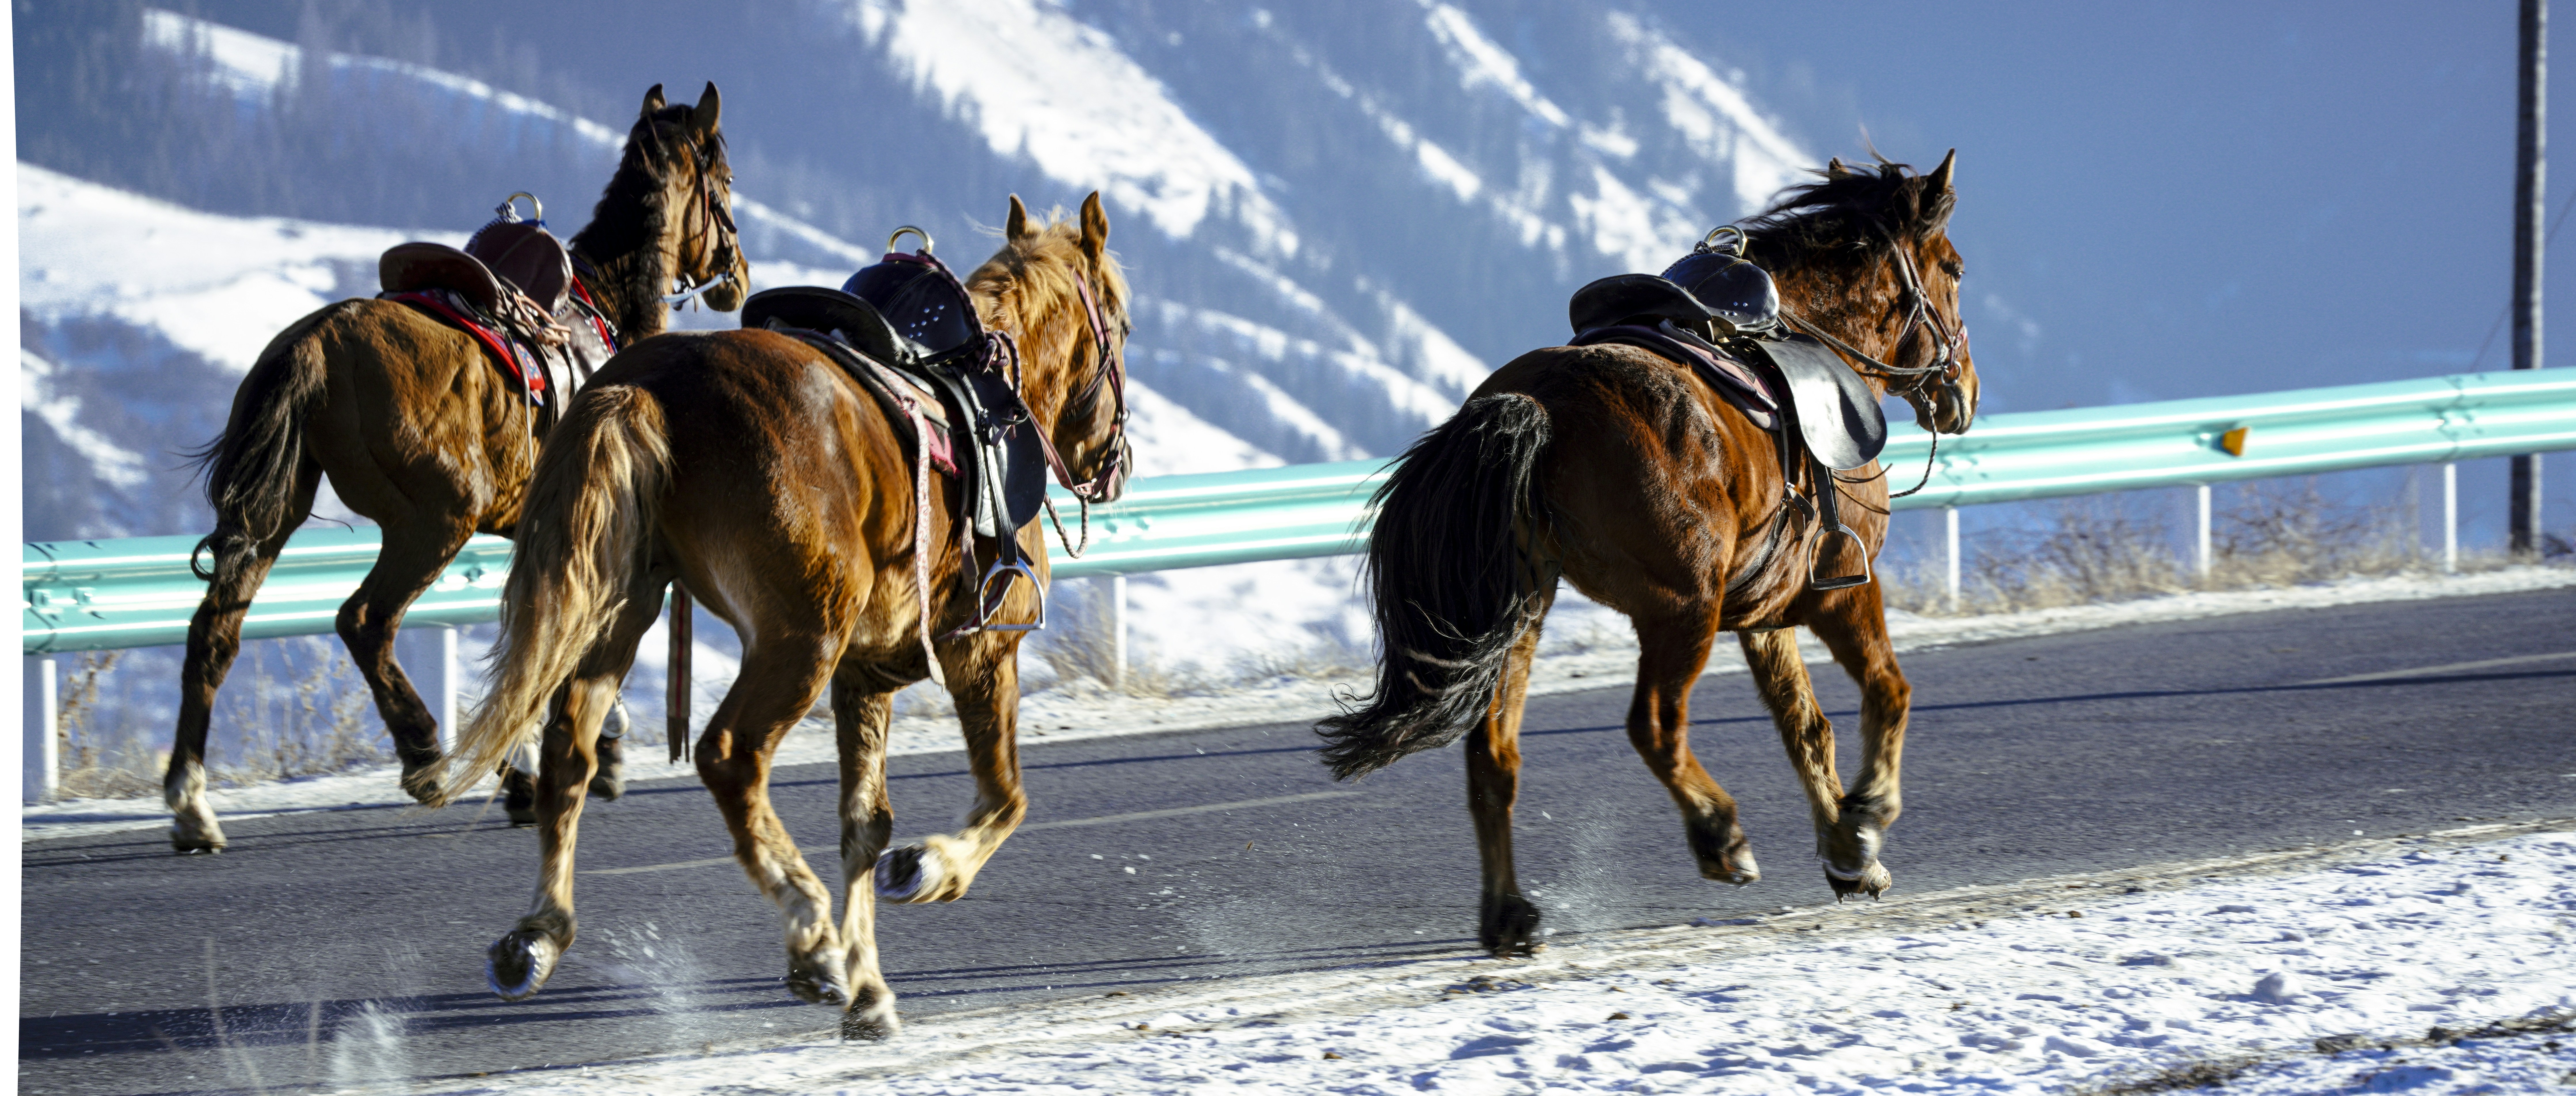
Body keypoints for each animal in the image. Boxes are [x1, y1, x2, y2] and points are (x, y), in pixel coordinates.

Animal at [170, 83, 748, 852]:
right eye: (726, 181)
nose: (737, 277)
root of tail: (318, 342)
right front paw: (590, 746)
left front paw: (537, 761)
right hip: (437, 517)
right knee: (365, 620)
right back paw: (428, 759)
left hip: (274, 508)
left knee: (216, 632)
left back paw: (191, 802)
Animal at [433, 193, 1132, 1041]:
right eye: (1122, 325)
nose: (1116, 464)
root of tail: (651, 387)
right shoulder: (982, 651)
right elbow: (1003, 797)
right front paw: (926, 873)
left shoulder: (865, 675)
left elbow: (865, 823)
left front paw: (871, 991)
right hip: (799, 639)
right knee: (730, 755)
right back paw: (809, 937)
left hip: (617, 606)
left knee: (570, 746)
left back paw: (538, 933)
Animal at [1319, 154, 1979, 958]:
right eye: (1953, 269)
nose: (1963, 390)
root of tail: (1531, 404)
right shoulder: (1838, 588)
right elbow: (1888, 689)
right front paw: (1866, 815)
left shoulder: (1765, 614)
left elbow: (1805, 726)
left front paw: (1848, 855)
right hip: (1680, 611)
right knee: (1654, 725)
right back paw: (1720, 837)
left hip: (1524, 615)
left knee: (1492, 757)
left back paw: (1508, 913)